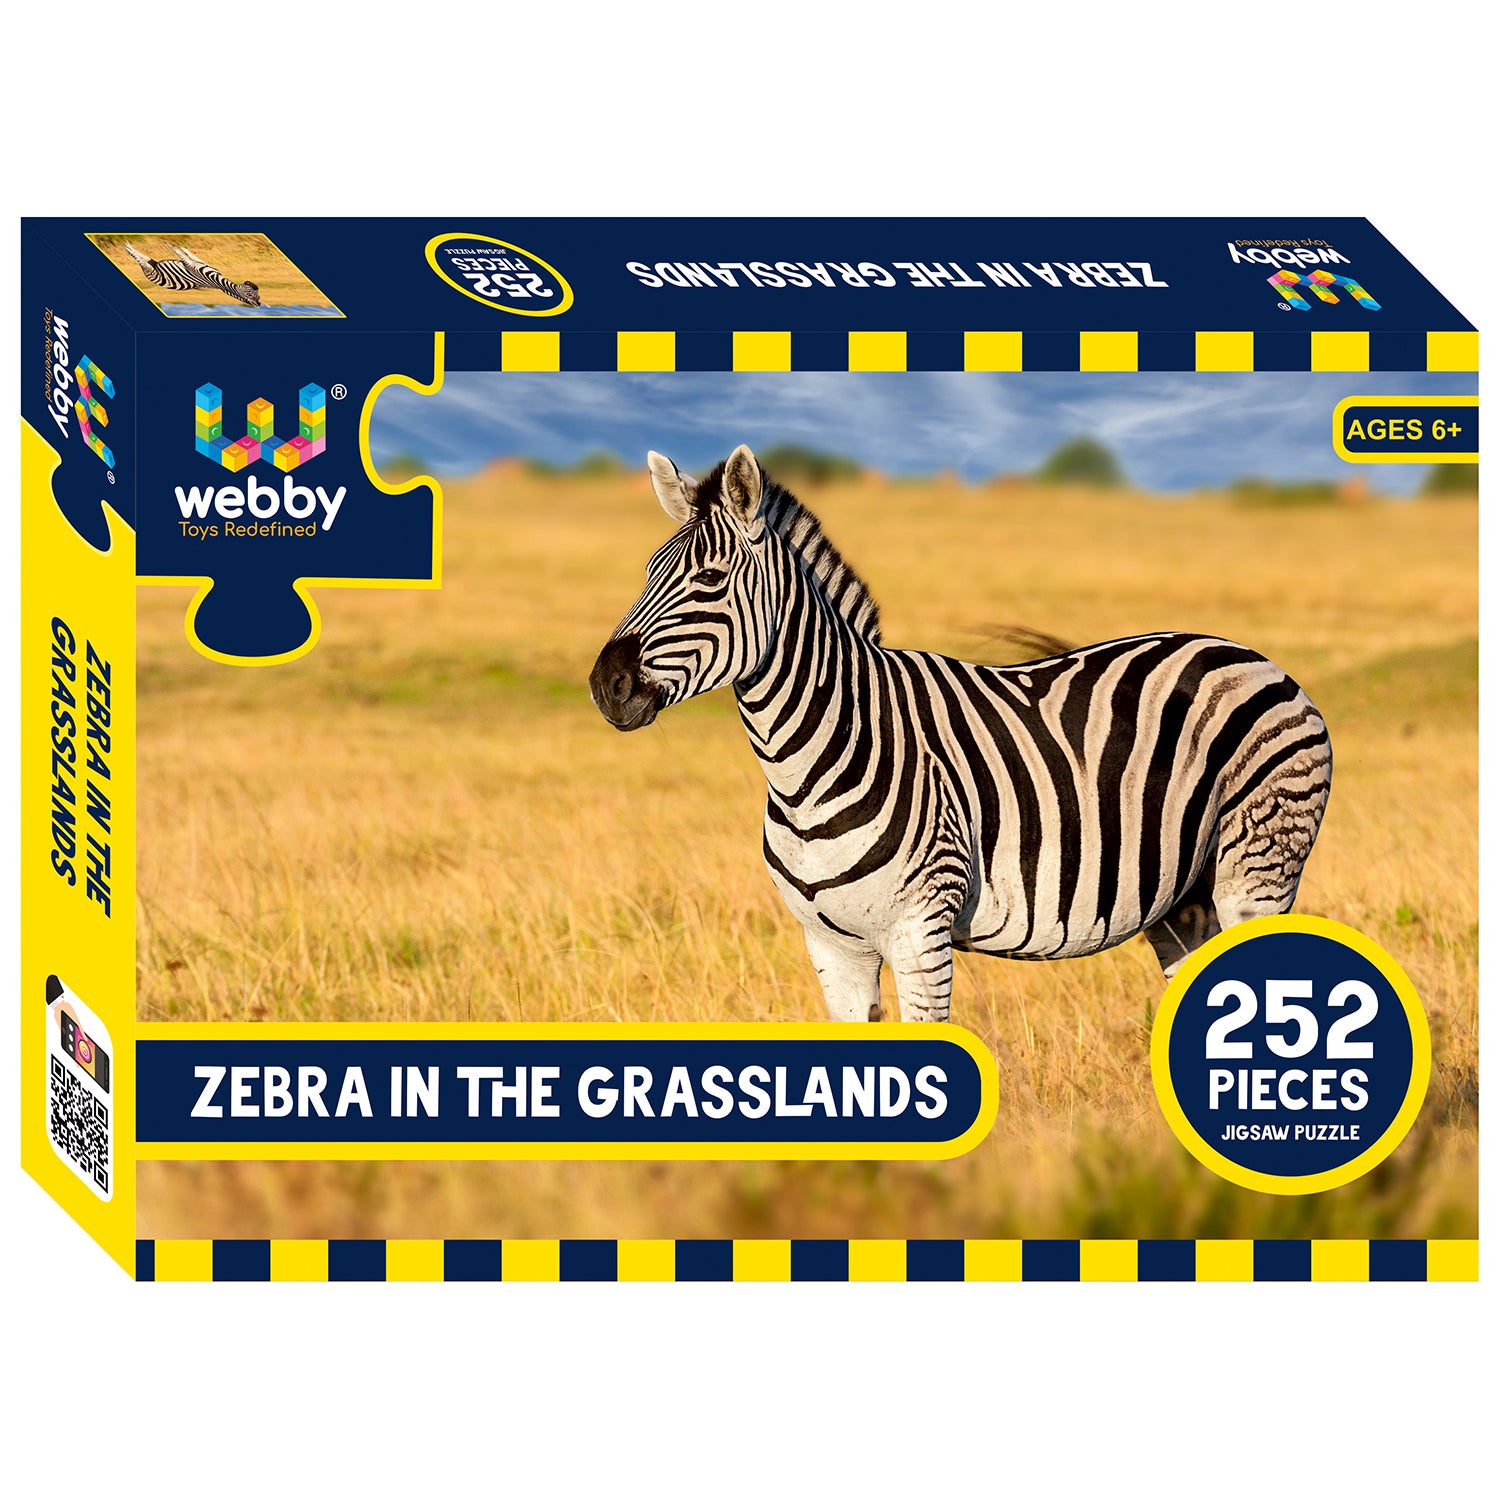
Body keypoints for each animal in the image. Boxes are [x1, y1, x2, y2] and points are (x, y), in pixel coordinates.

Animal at [123, 243, 261, 306]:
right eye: (255, 294)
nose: (259, 303)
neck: (218, 280)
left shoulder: (192, 267)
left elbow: (182, 256)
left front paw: (172, 246)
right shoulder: (198, 262)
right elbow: (189, 254)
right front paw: (179, 246)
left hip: (153, 272)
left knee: (141, 261)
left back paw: (128, 247)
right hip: (153, 264)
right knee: (144, 258)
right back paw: (128, 245)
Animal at [590, 445, 1333, 1024]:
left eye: (709, 579)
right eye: (649, 572)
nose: (606, 685)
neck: (808, 766)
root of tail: (1247, 653)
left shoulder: (922, 932)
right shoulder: (831, 945)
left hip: (1259, 865)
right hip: (1184, 899)